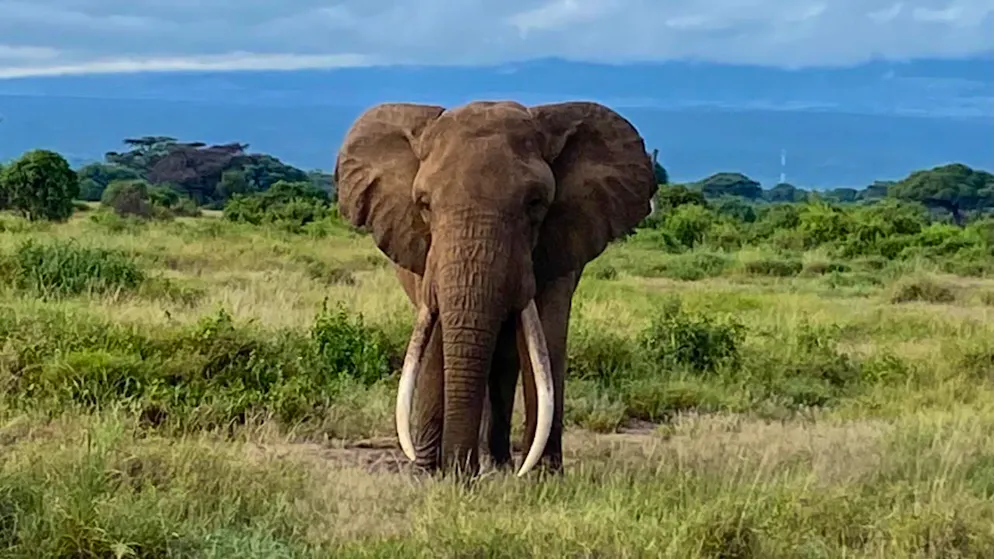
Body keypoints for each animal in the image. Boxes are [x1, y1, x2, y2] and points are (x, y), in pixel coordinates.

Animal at [334, 100, 656, 478]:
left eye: (535, 203)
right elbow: (436, 338)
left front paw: (542, 477)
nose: (460, 471)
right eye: (423, 204)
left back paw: (498, 465)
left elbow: (546, 338)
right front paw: (431, 474)